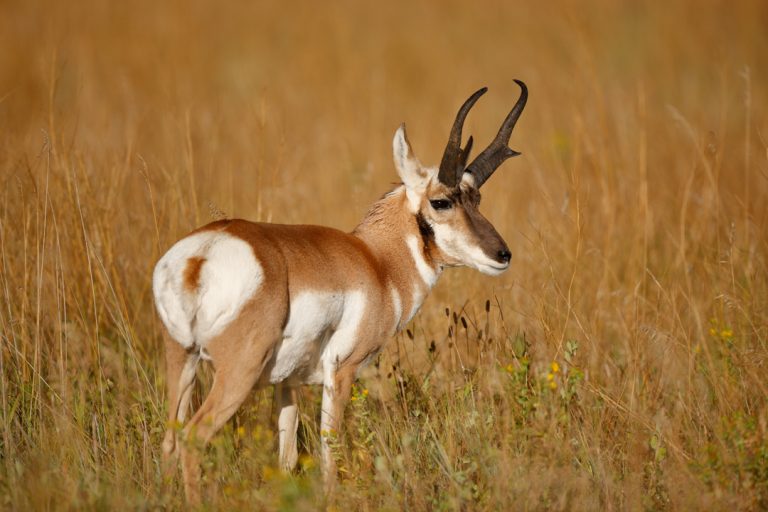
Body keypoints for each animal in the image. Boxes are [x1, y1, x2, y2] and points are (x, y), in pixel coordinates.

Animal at [153, 80, 528, 502]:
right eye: (441, 201)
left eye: (477, 198)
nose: (502, 254)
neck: (377, 261)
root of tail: (200, 255)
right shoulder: (342, 371)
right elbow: (328, 450)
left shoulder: (287, 384)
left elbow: (287, 458)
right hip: (237, 373)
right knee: (192, 440)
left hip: (181, 360)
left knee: (170, 440)